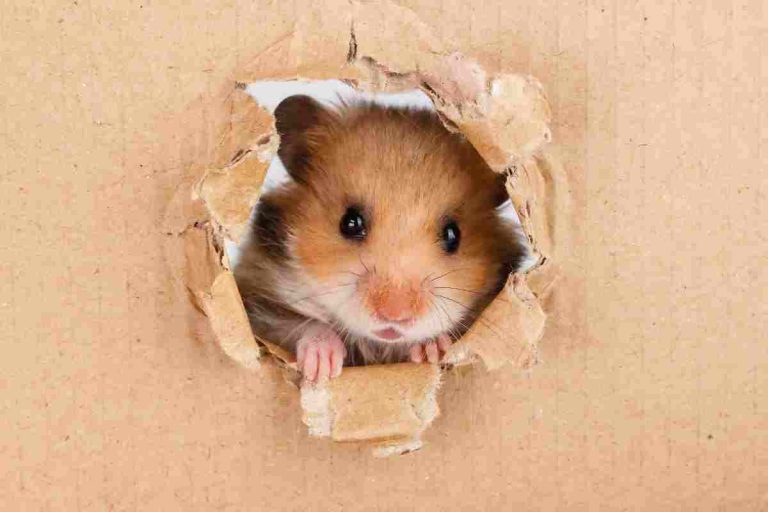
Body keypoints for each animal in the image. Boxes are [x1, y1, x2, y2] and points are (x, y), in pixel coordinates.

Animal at [234, 95, 526, 382]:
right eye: (350, 222)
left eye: (453, 235)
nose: (395, 316)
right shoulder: (259, 302)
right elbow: (300, 325)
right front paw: (323, 366)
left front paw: (430, 349)